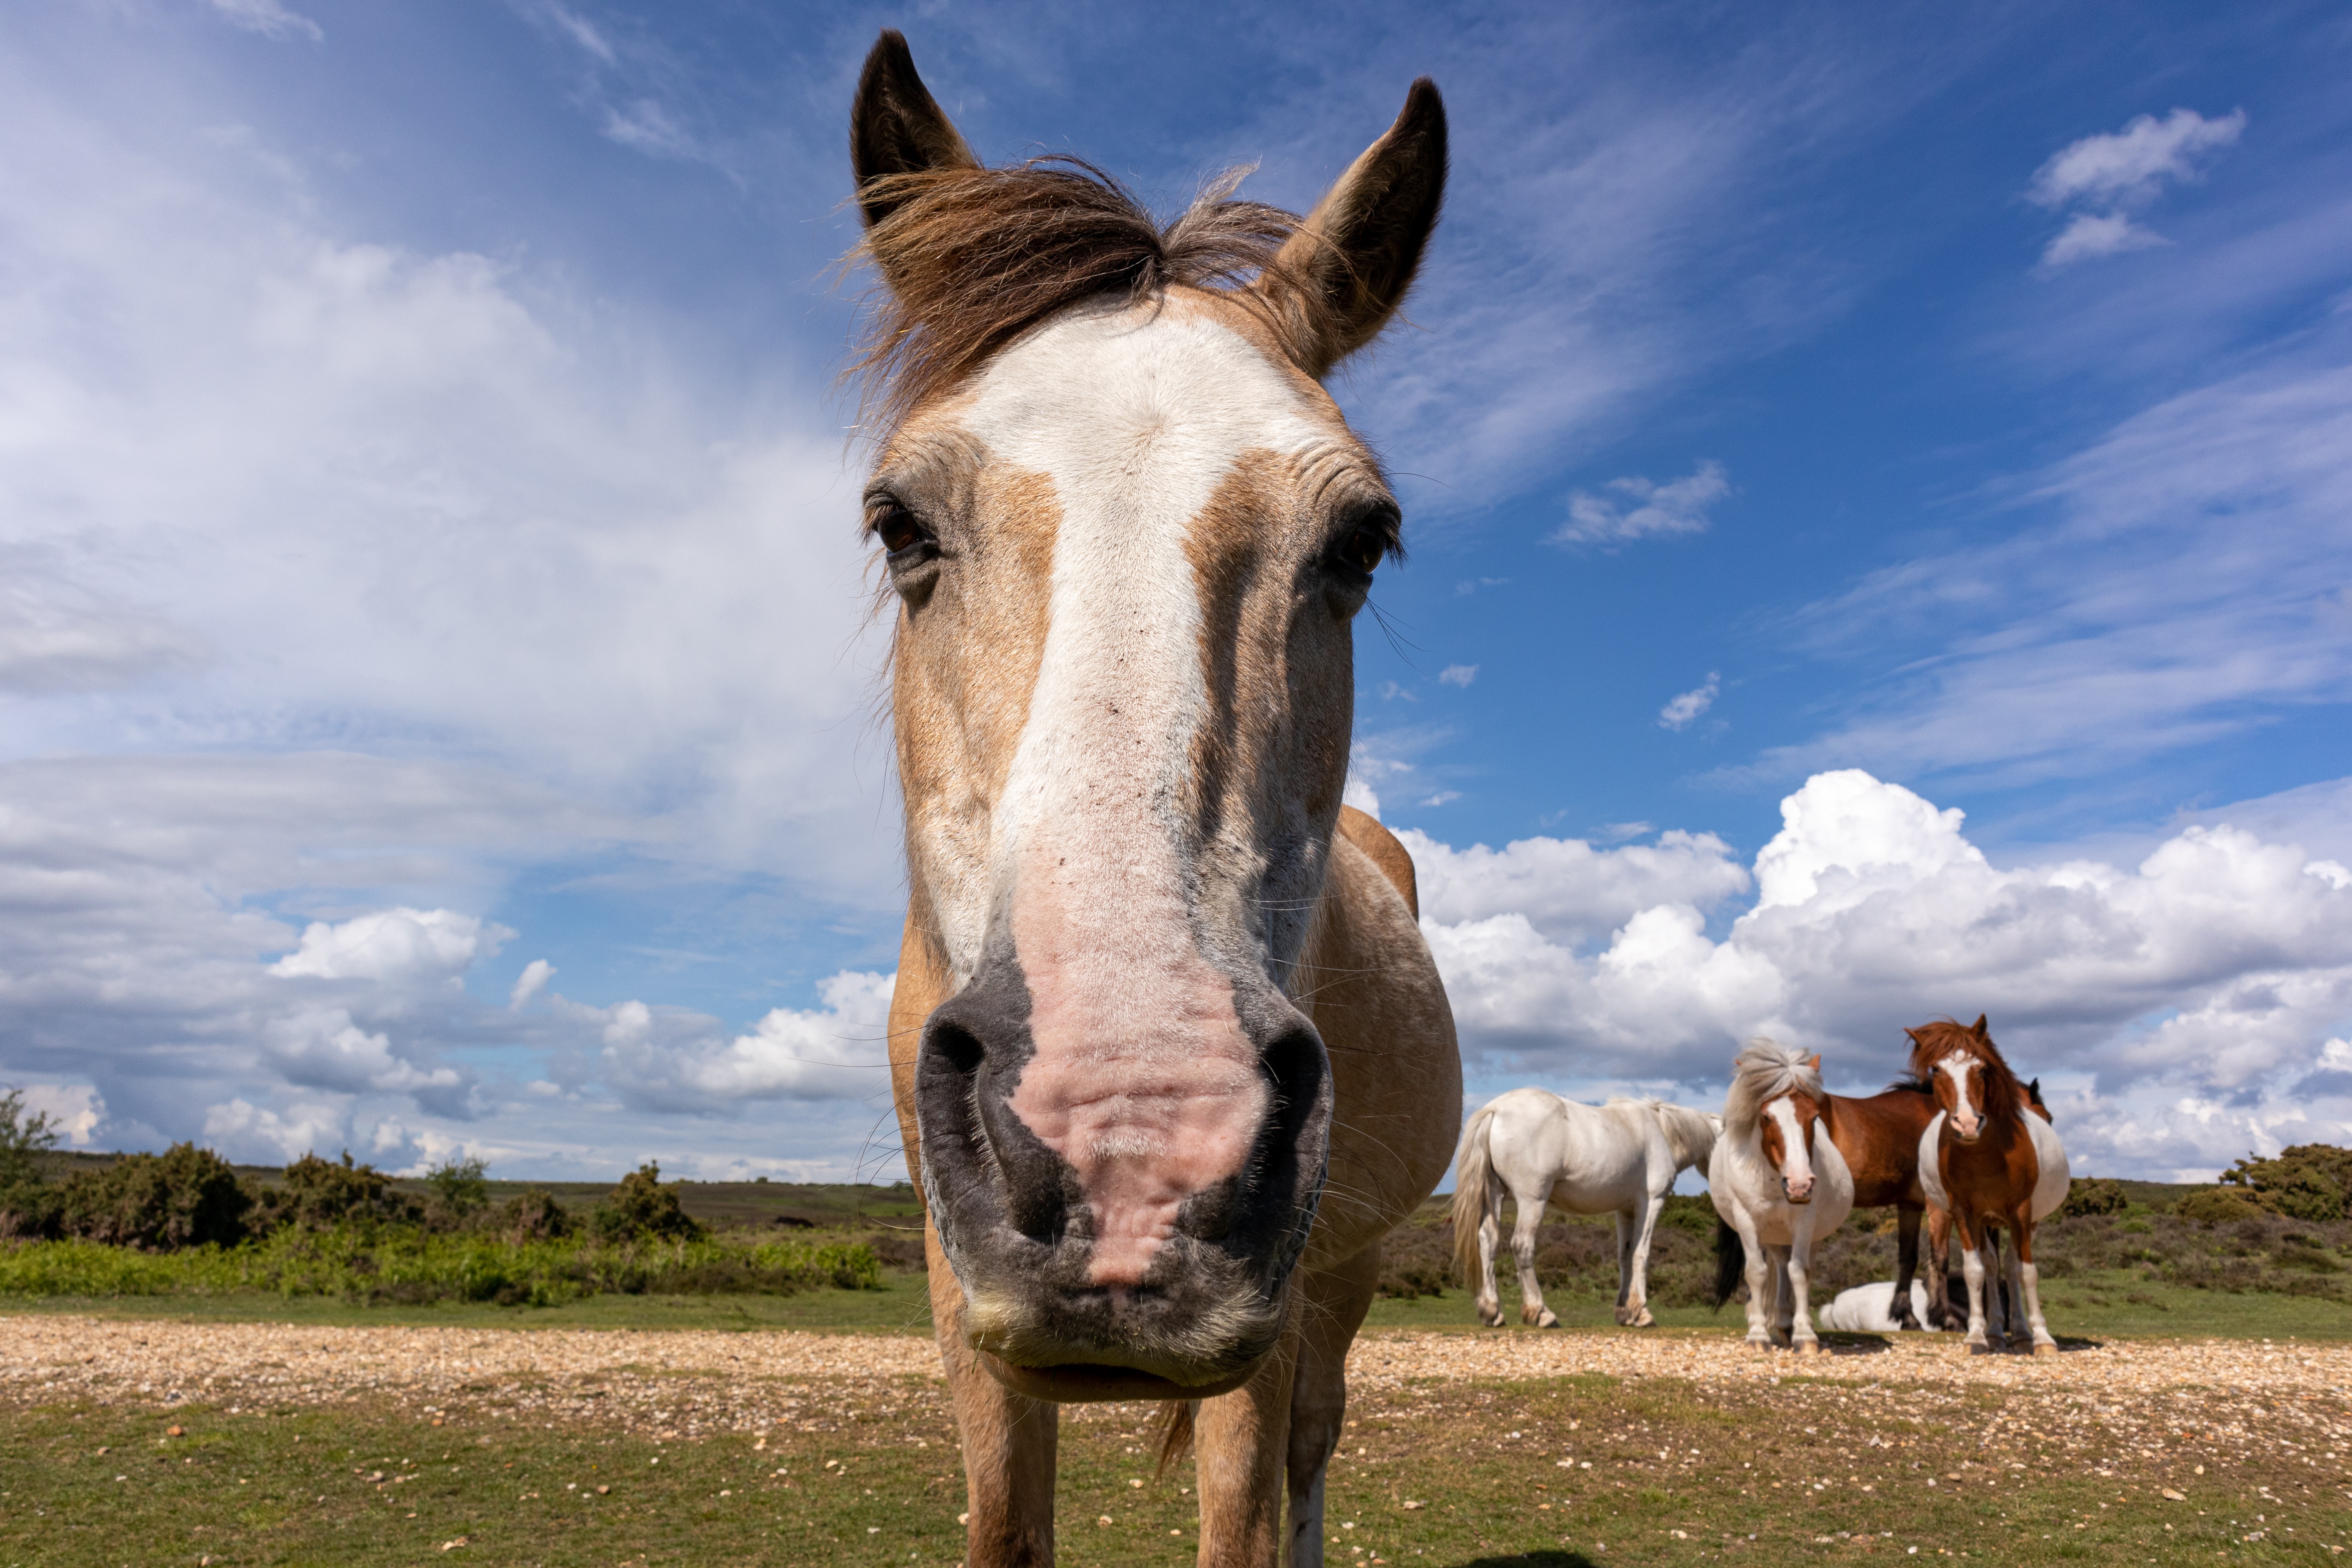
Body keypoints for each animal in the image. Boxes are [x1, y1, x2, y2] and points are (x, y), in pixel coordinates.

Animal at [847, 31, 1468, 1561]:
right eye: (898, 523)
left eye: (1363, 539)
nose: (1131, 1136)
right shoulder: (959, 1295)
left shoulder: (1286, 1294)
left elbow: (1249, 1504)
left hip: (1346, 1272)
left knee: (1313, 1449)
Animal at [1439, 1091, 1722, 1335]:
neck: (1662, 1130)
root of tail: (1495, 1110)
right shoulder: (1651, 1202)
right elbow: (1642, 1255)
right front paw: (1642, 1313)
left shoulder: (1625, 1210)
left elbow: (1625, 1256)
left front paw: (1624, 1313)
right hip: (1532, 1201)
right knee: (1522, 1246)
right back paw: (1542, 1313)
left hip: (1494, 1194)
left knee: (1488, 1242)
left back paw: (1492, 1312)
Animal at [1712, 1034, 1853, 1354]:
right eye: (1766, 1117)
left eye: (1814, 1116)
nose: (1799, 1184)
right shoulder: (1747, 1221)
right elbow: (1757, 1273)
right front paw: (1758, 1336)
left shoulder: (1805, 1222)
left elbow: (1800, 1272)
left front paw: (1805, 1336)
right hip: (1772, 1236)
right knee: (1777, 1265)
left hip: (1809, 1235)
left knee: (1794, 1268)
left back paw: (1790, 1326)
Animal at [1910, 1020, 2079, 1354]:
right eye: (1937, 1069)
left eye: (1982, 1068)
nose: (1967, 1123)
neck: (1985, 1153)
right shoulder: (1964, 1213)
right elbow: (1976, 1270)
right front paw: (1977, 1335)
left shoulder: (2022, 1212)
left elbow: (2027, 1272)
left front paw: (2042, 1338)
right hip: (1985, 1221)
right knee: (1991, 1265)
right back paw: (1996, 1332)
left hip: (2022, 1221)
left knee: (2012, 1267)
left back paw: (2022, 1333)